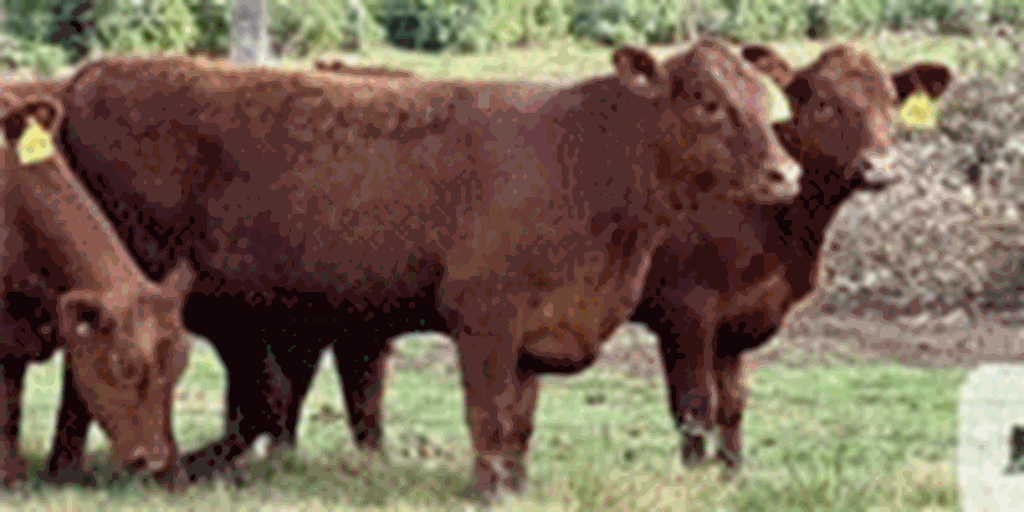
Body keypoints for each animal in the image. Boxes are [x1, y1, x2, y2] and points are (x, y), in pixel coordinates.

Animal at [42, 38, 802, 502]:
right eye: (708, 102)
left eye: (768, 103)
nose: (785, 173)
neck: (583, 158)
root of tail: (95, 74)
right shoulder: (486, 319)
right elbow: (488, 415)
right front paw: (487, 490)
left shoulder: (536, 331)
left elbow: (520, 423)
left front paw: (514, 487)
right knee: (95, 380)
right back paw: (72, 469)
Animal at [629, 43, 953, 479]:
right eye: (825, 103)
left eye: (890, 102)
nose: (880, 166)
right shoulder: (685, 314)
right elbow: (694, 411)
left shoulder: (734, 322)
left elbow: (732, 406)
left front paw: (732, 477)